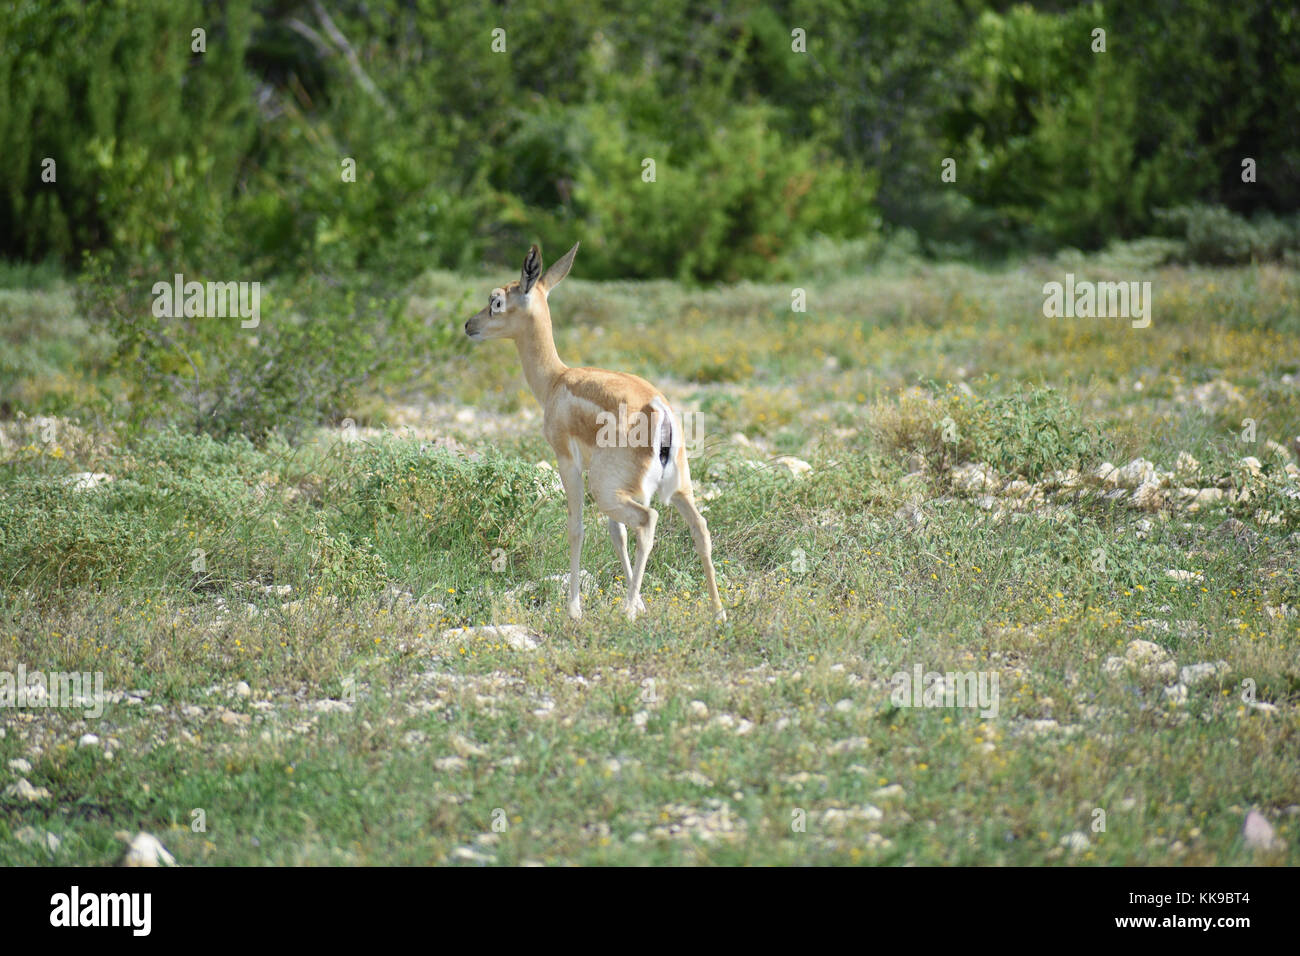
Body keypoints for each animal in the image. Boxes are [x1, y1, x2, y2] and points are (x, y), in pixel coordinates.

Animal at [464, 243, 725, 623]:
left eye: (496, 300)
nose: (470, 324)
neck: (556, 380)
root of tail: (658, 410)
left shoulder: (567, 462)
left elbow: (577, 529)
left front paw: (574, 608)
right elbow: (616, 535)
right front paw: (640, 601)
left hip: (608, 491)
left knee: (647, 522)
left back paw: (628, 612)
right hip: (676, 488)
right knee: (699, 527)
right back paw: (718, 613)